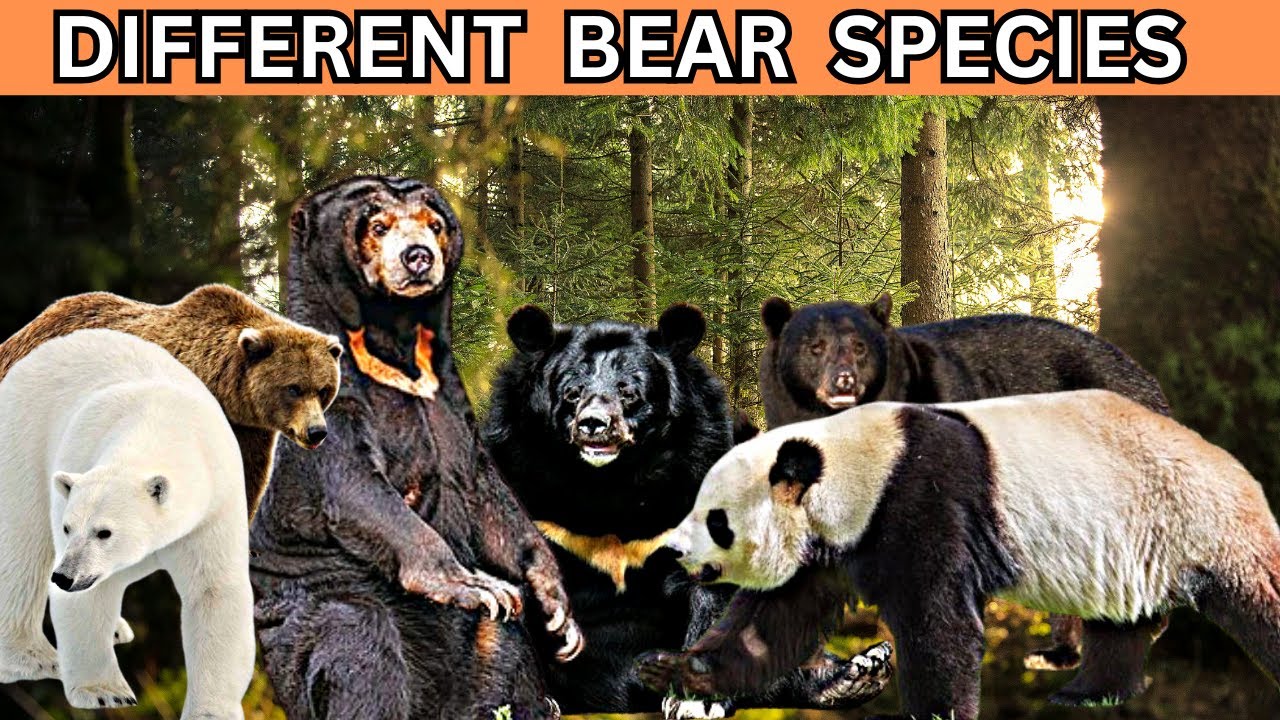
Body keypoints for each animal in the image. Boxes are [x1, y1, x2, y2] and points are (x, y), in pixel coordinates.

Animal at [0, 329, 253, 718]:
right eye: (68, 528)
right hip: (24, 433)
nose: (65, 576)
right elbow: (88, 598)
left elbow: (214, 591)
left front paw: (210, 711)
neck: (160, 424)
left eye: (104, 532)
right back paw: (33, 657)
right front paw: (106, 693)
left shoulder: (213, 507)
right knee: (23, 541)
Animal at [249, 176, 580, 720]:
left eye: (434, 222)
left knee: (505, 650)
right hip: (310, 615)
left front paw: (558, 614)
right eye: (377, 225)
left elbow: (487, 493)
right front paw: (474, 583)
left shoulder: (449, 396)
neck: (393, 346)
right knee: (359, 647)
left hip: (476, 647)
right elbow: (354, 486)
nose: (419, 256)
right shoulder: (324, 391)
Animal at [482, 303, 893, 718]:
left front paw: (696, 702)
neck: (610, 484)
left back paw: (855, 673)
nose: (593, 425)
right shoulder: (524, 487)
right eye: (571, 392)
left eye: (629, 392)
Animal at [639, 390, 1280, 720]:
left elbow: (938, 623)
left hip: (1196, 516)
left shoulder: (920, 500)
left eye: (716, 520)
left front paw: (937, 710)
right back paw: (1088, 692)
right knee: (1119, 622)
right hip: (1124, 545)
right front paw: (675, 670)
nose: (671, 554)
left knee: (1259, 599)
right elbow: (770, 623)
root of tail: (1233, 465)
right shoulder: (827, 547)